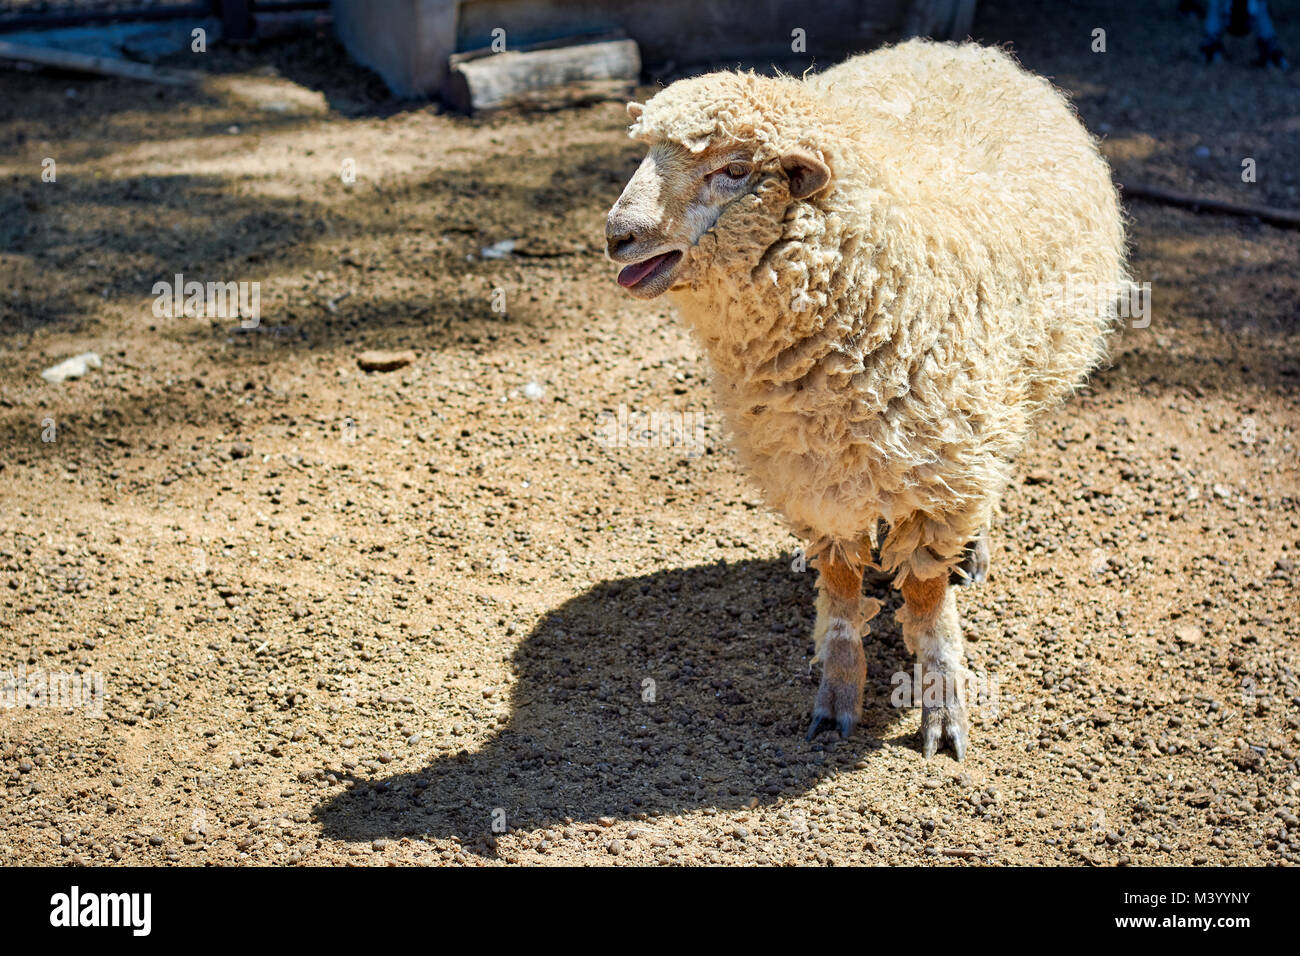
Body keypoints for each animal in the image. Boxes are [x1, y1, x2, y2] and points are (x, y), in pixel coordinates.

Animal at [604, 39, 1128, 759]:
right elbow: (844, 586)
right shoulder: (810, 473)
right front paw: (838, 694)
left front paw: (942, 703)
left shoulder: (945, 473)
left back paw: (975, 552)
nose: (617, 235)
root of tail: (957, 49)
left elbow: (928, 598)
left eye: (735, 170)